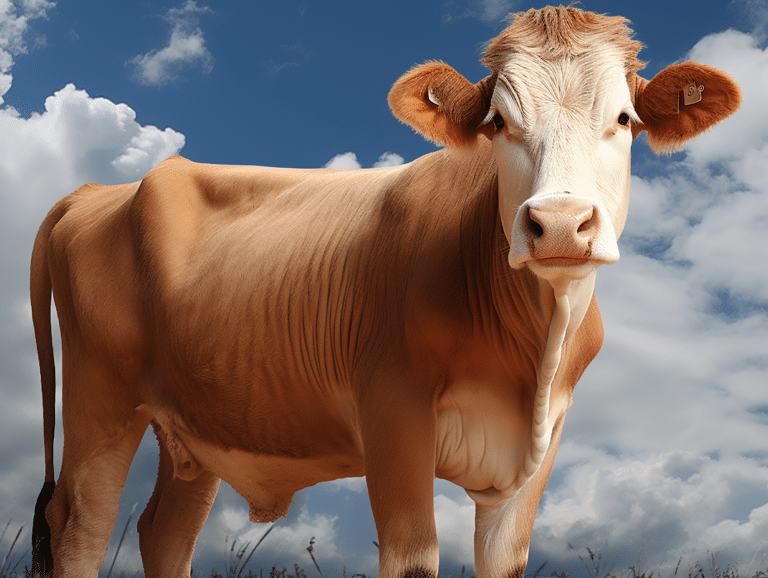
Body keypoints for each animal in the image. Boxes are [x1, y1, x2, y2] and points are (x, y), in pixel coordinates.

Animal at [30, 6, 741, 578]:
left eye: (623, 118)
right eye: (499, 121)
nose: (560, 223)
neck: (530, 350)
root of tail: (99, 191)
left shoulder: (540, 448)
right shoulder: (392, 411)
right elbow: (412, 559)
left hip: (198, 422)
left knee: (165, 533)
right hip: (99, 398)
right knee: (81, 526)